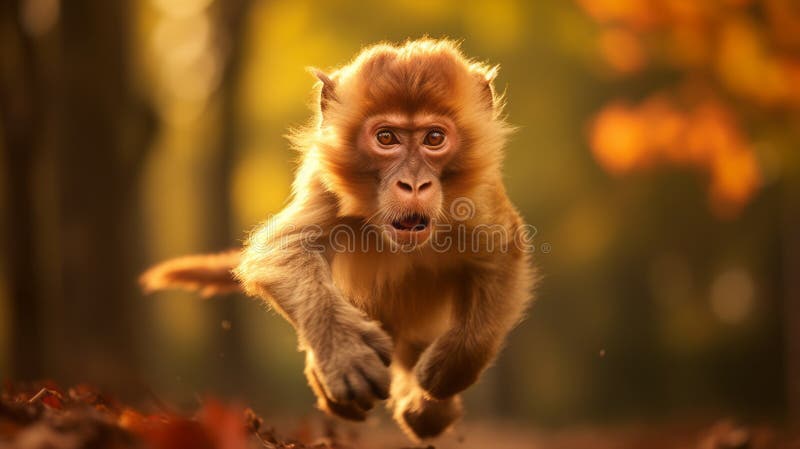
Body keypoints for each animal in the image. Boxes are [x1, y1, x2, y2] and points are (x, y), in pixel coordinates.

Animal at [140, 38, 535, 440]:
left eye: (434, 138)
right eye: (386, 138)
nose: (413, 185)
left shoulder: (478, 199)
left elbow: (503, 256)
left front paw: (448, 371)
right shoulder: (325, 189)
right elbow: (283, 250)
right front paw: (345, 352)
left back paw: (426, 408)